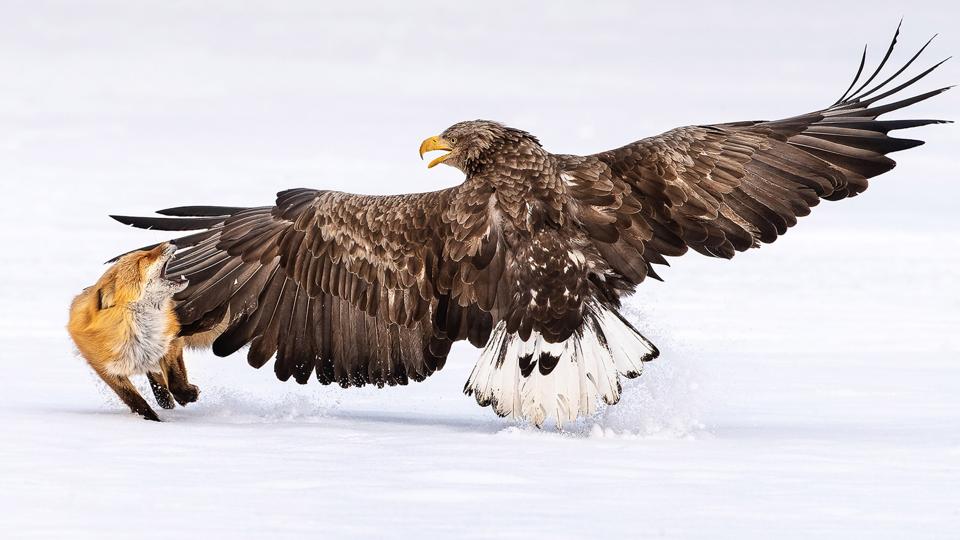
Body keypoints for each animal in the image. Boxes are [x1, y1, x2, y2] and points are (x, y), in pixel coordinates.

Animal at [67, 242, 199, 421]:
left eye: (144, 253)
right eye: (143, 258)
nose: (171, 241)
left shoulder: (168, 343)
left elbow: (174, 379)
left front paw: (186, 394)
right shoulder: (105, 368)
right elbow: (133, 399)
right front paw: (151, 420)